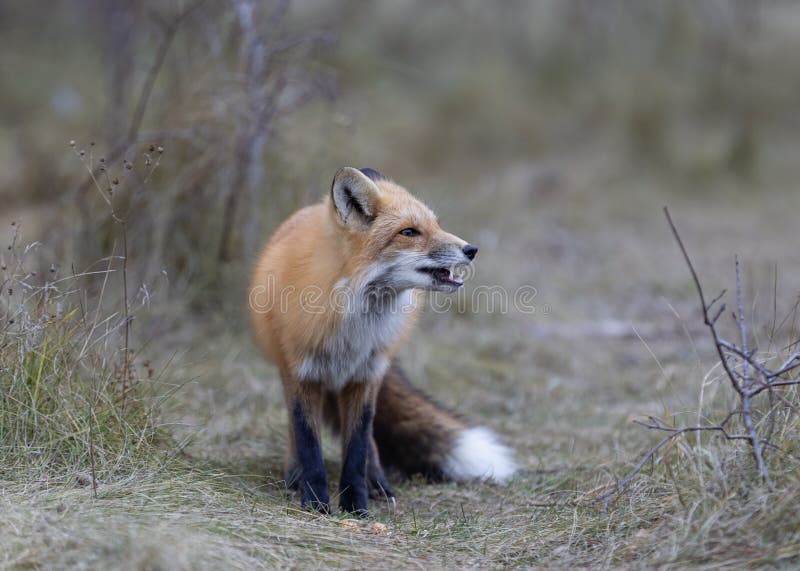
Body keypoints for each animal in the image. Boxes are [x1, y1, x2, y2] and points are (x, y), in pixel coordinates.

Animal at [249, 167, 516, 515]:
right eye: (409, 232)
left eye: (436, 225)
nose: (471, 249)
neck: (351, 326)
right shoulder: (302, 372)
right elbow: (308, 441)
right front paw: (316, 502)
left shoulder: (366, 375)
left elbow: (358, 447)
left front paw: (355, 505)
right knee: (297, 431)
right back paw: (295, 476)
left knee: (369, 441)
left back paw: (376, 482)